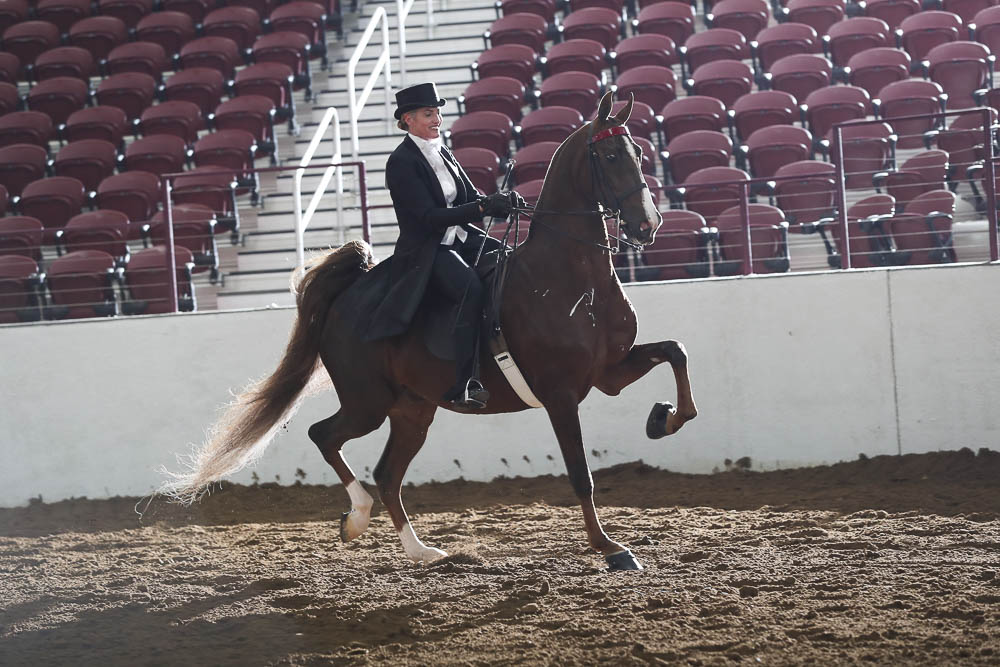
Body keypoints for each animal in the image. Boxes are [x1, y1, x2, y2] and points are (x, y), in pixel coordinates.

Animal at [163, 91, 698, 571]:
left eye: (639, 153)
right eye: (609, 156)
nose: (648, 226)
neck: (571, 277)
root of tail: (352, 293)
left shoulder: (609, 372)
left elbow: (676, 352)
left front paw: (663, 418)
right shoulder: (561, 393)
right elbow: (580, 474)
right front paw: (610, 548)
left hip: (413, 409)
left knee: (387, 473)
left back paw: (421, 551)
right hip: (368, 401)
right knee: (326, 436)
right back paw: (357, 519)